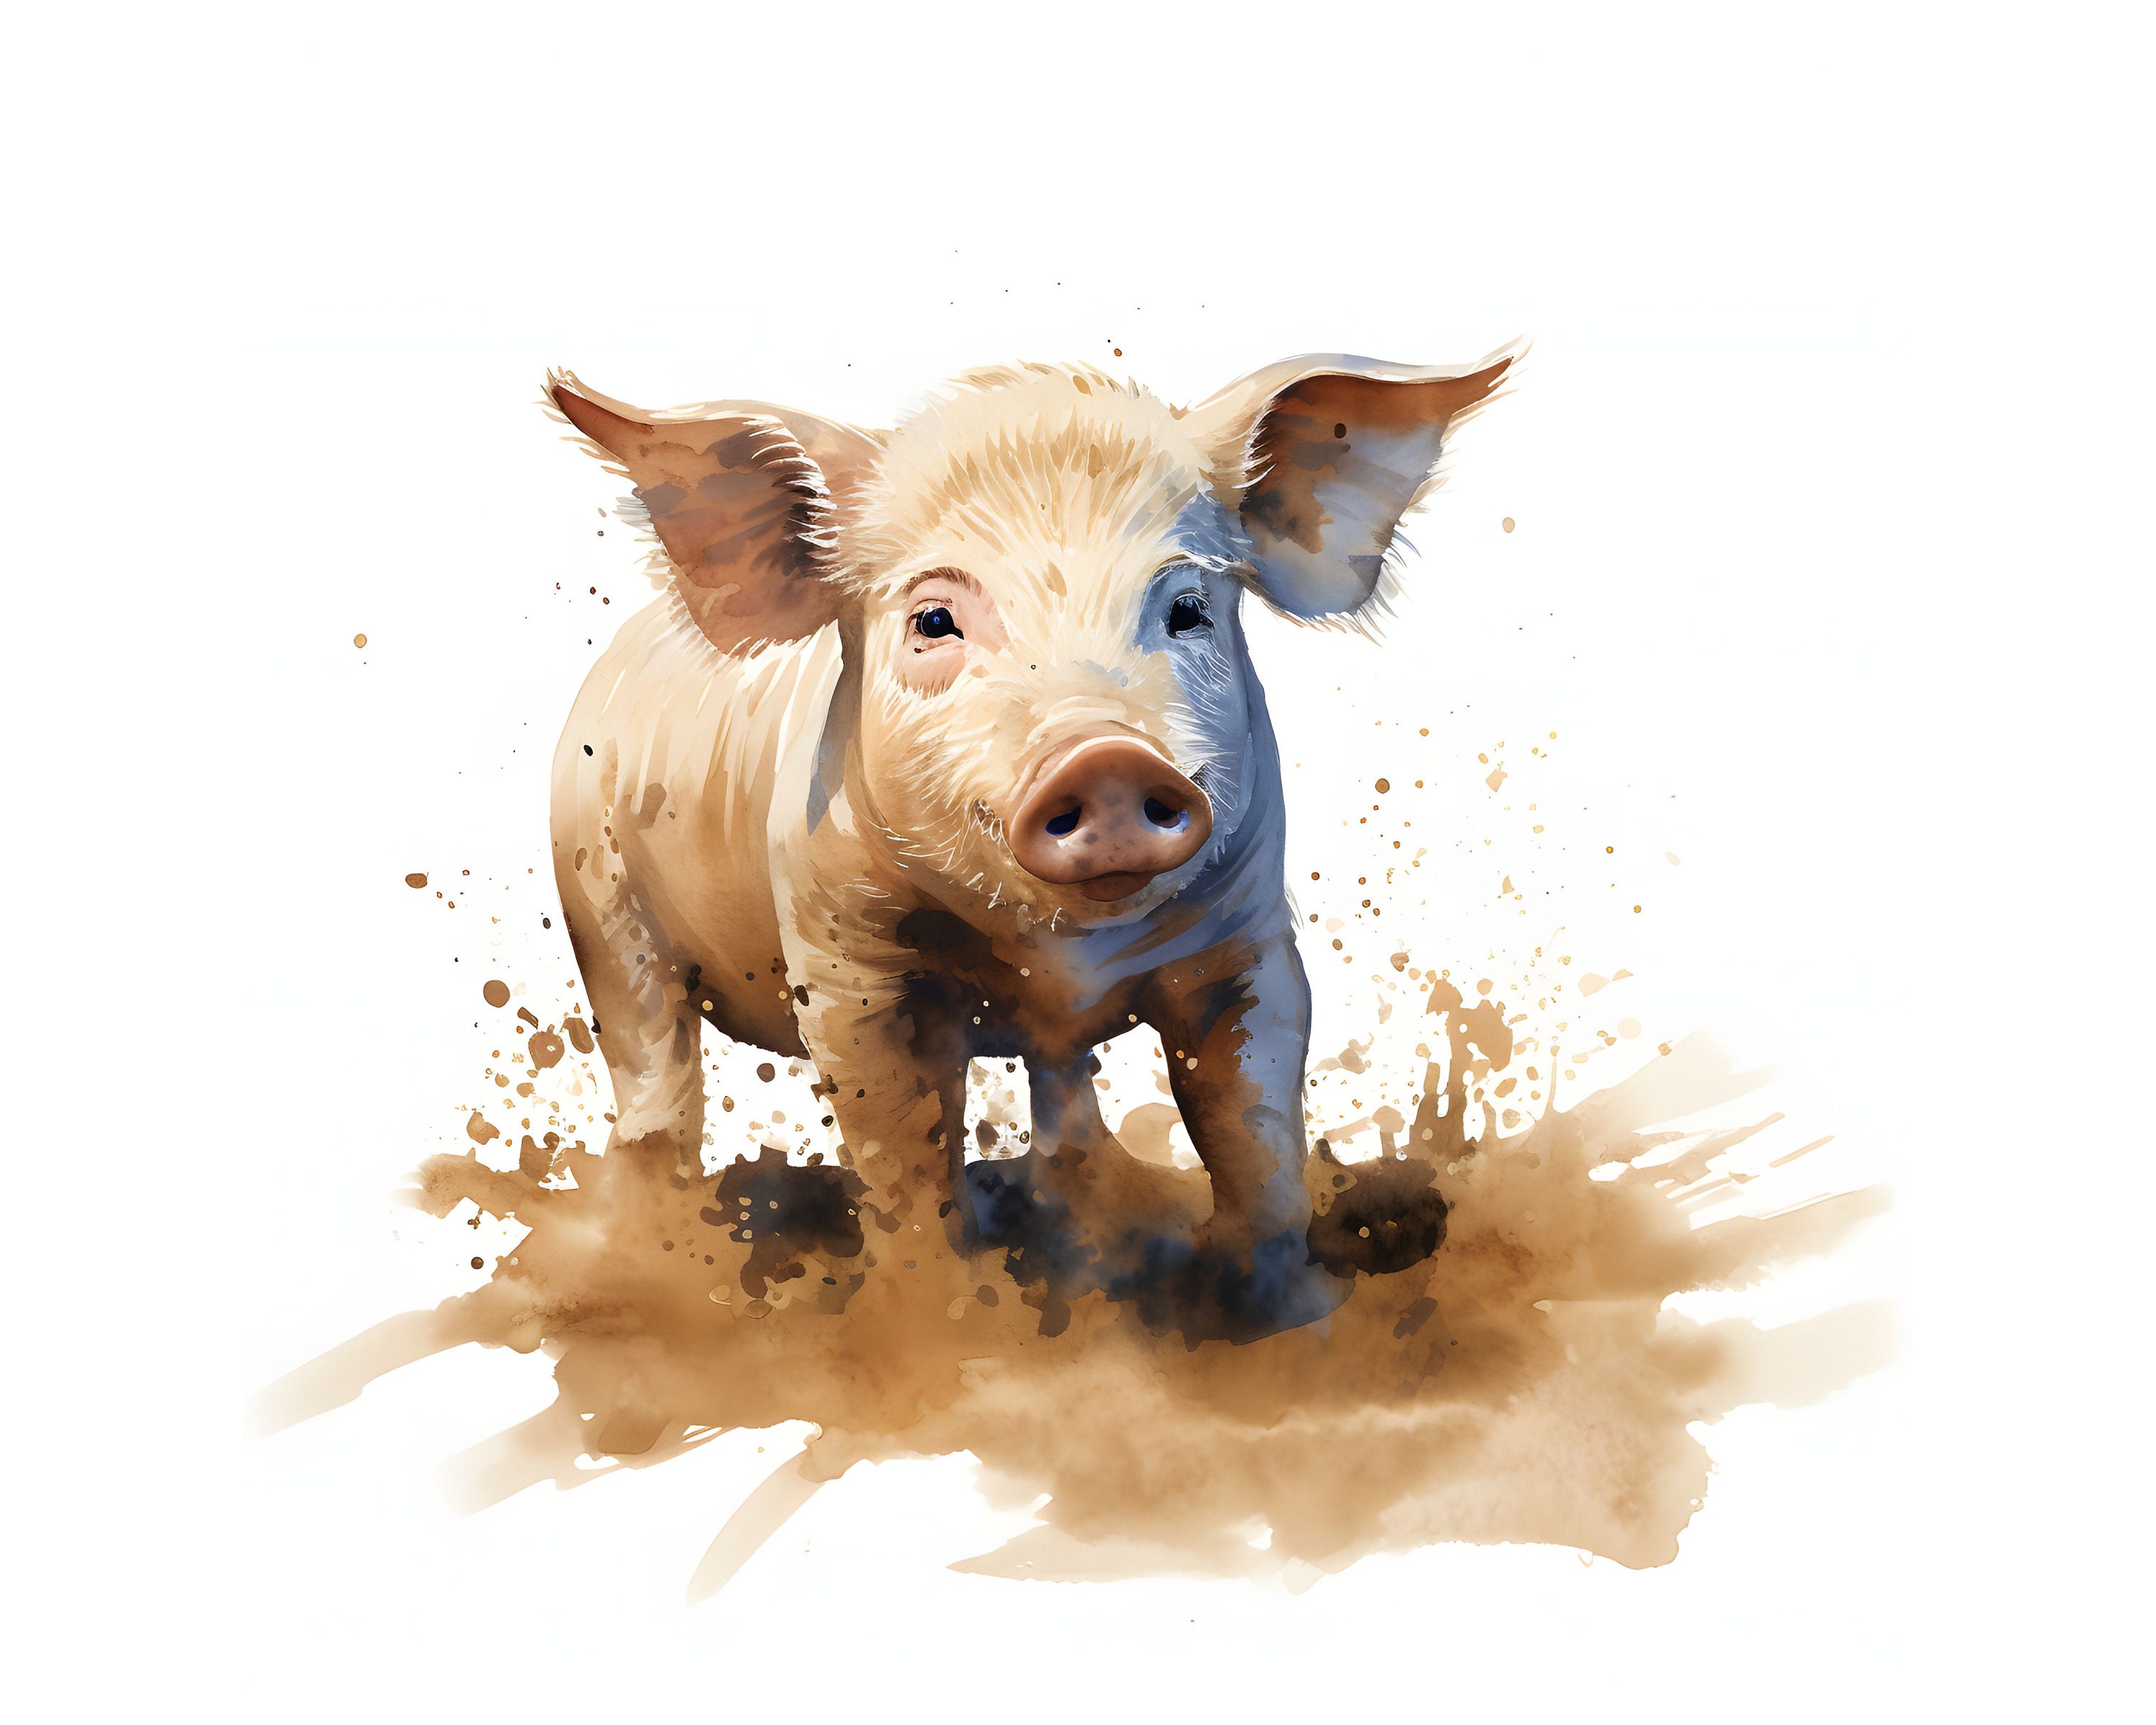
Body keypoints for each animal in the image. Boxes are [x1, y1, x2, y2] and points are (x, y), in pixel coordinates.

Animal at [546, 349, 1513, 1341]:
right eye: (934, 621)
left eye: (1189, 608)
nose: (1107, 758)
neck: (1053, 953)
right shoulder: (846, 967)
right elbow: (905, 1160)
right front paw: (943, 1330)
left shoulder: (1249, 942)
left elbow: (1254, 1131)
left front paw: (1286, 1320)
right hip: (597, 901)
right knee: (654, 1072)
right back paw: (660, 1245)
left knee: (1066, 1083)